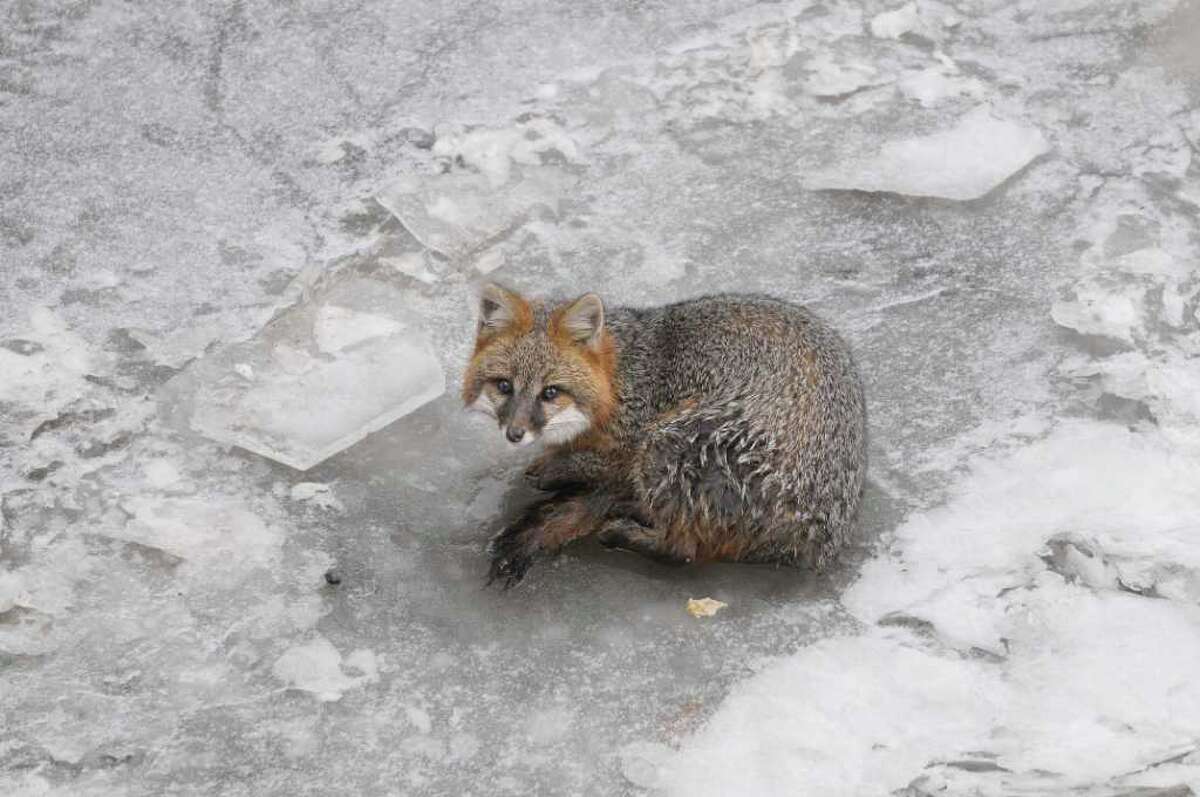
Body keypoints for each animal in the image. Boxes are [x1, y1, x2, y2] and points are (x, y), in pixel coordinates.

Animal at [462, 282, 867, 587]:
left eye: (550, 392)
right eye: (504, 386)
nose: (515, 434)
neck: (623, 379)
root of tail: (821, 535)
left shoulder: (635, 438)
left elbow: (603, 469)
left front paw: (560, 467)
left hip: (668, 442)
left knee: (684, 550)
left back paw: (628, 533)